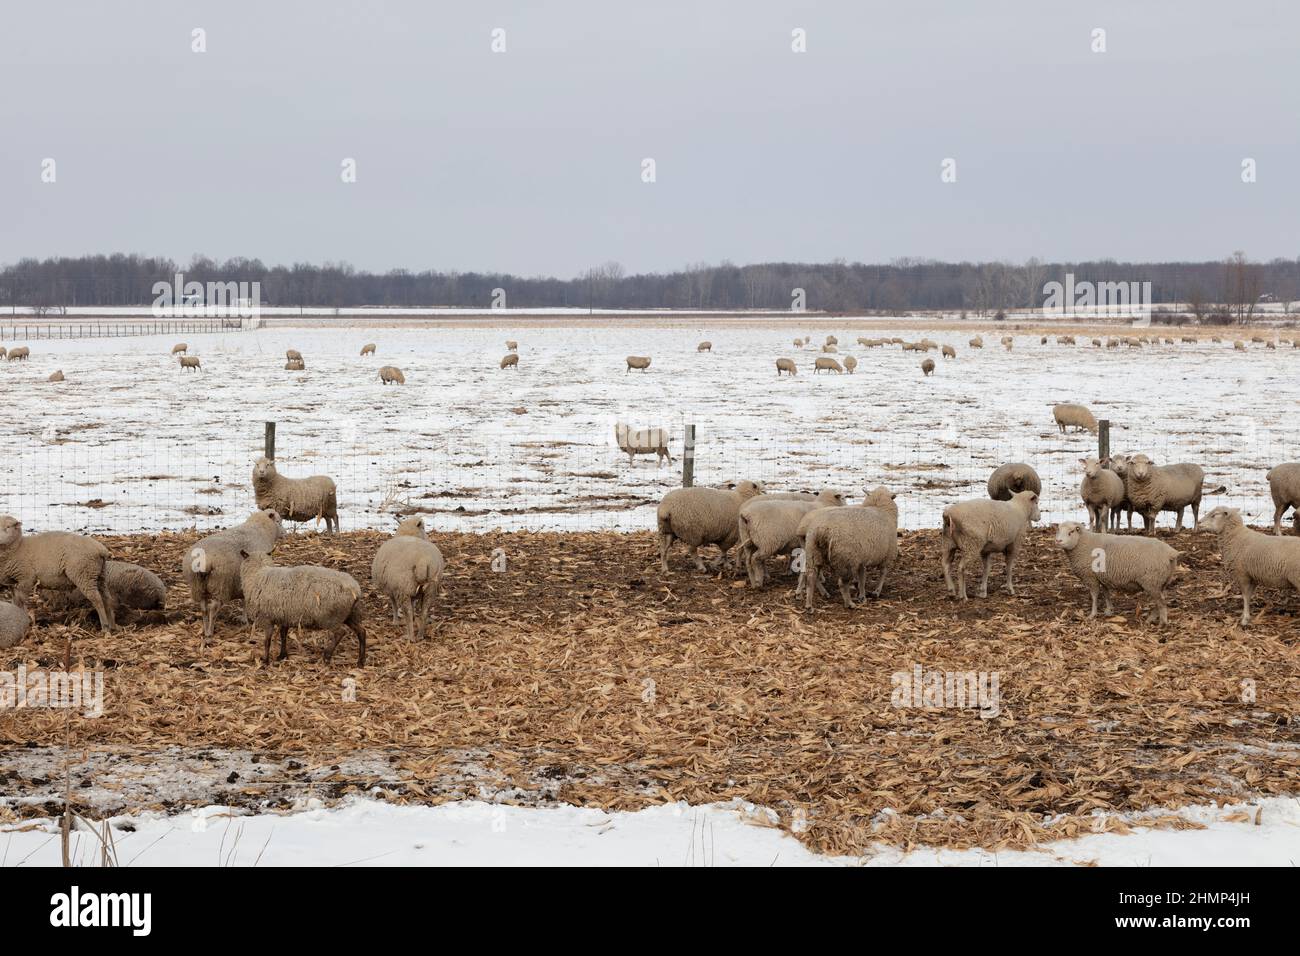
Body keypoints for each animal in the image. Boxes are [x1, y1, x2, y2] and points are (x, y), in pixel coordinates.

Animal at [182, 508, 284, 643]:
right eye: (278, 521)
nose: (285, 533)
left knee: (204, 608)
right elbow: (246, 601)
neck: (262, 529)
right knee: (213, 608)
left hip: (198, 586)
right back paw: (209, 633)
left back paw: (205, 629)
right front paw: (246, 619)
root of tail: (204, 561)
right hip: (220, 585)